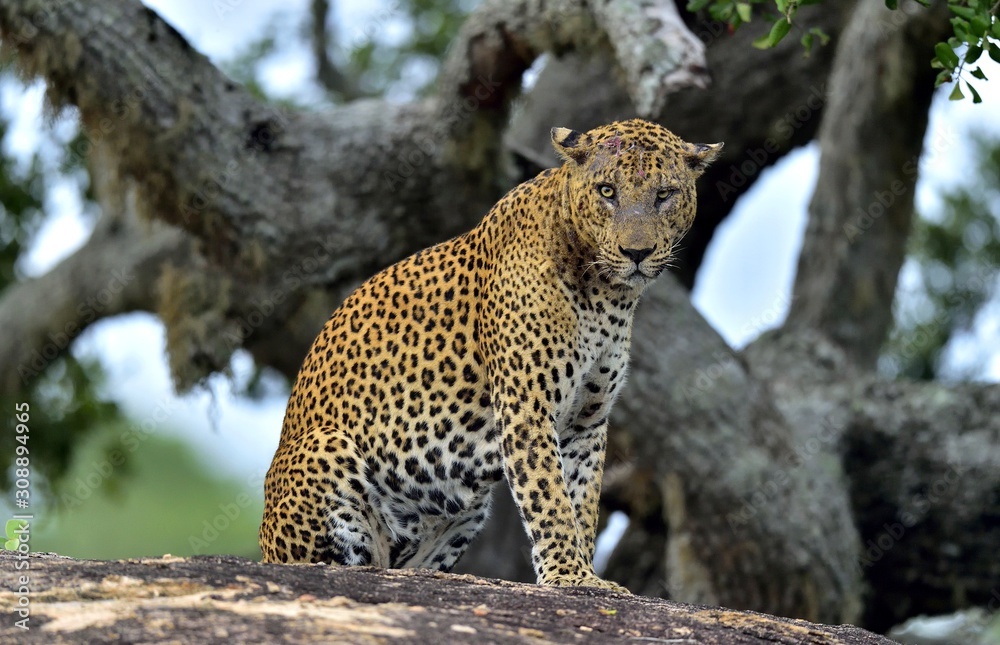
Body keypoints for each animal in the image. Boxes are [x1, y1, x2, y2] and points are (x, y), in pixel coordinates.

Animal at [259, 118, 722, 591]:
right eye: (607, 191)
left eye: (663, 194)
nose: (636, 253)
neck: (607, 297)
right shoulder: (526, 407)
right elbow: (549, 498)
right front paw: (571, 576)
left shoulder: (587, 422)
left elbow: (582, 502)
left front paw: (585, 573)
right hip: (324, 447)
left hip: (463, 513)